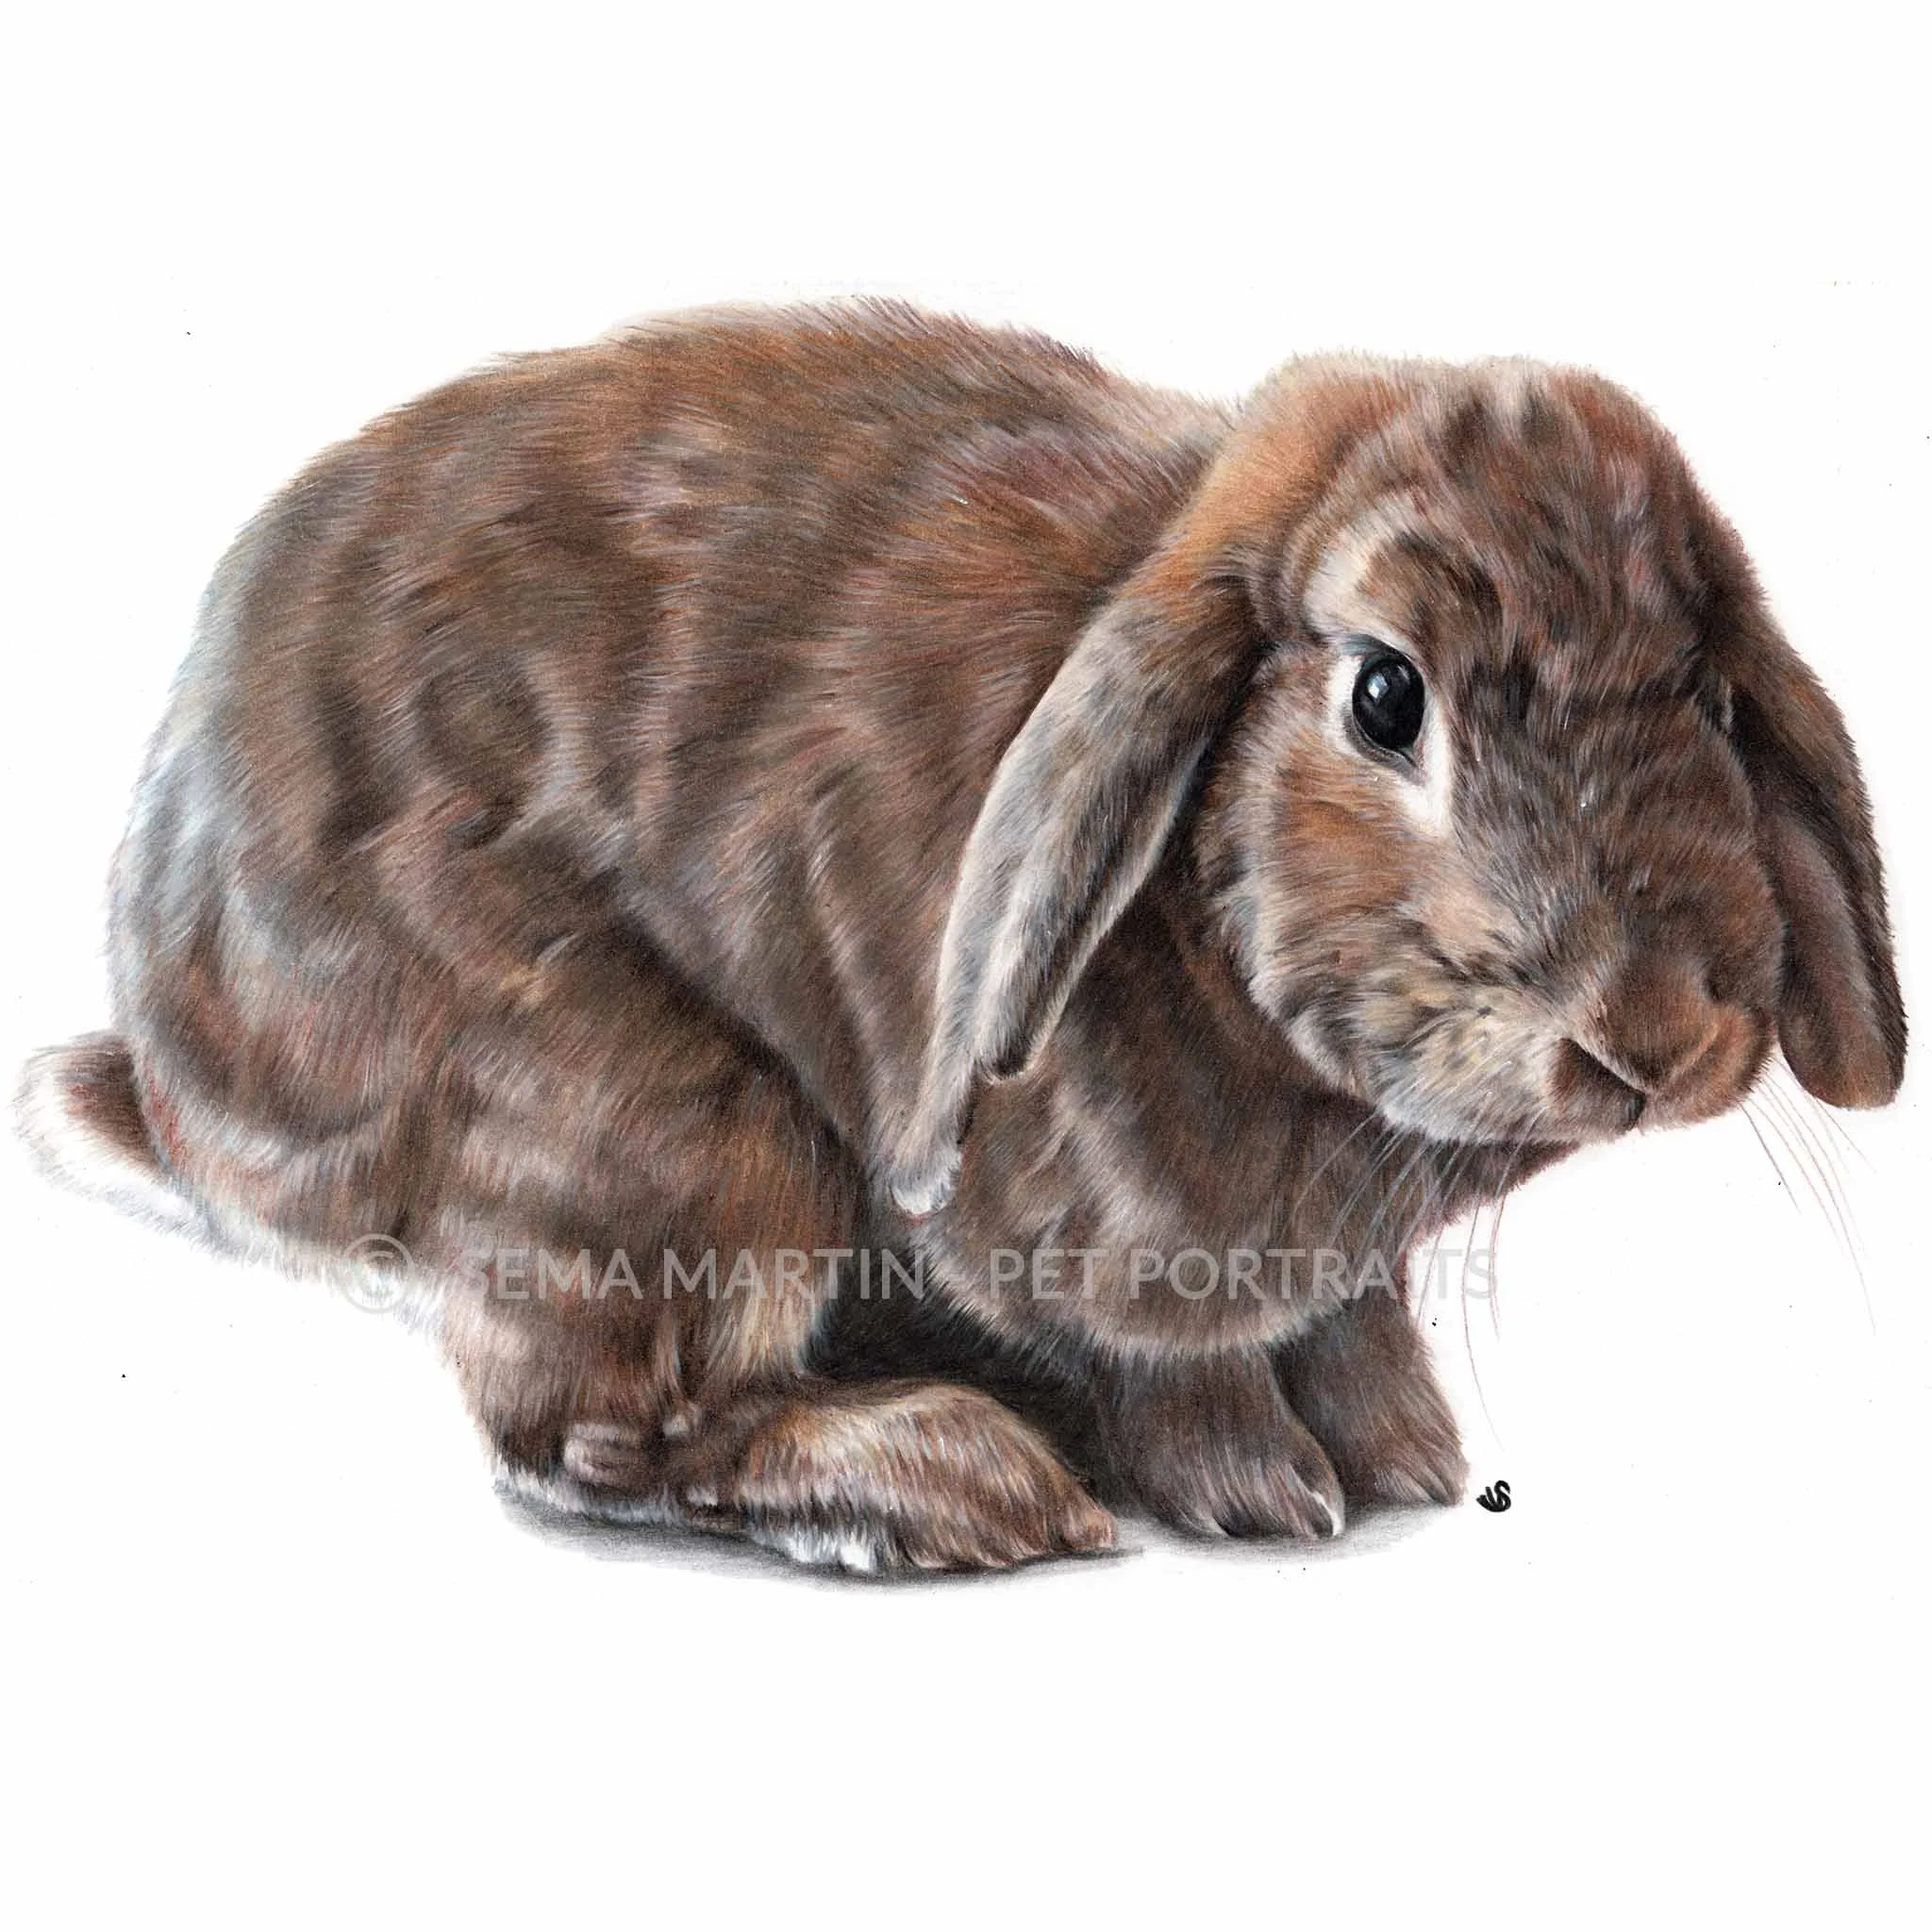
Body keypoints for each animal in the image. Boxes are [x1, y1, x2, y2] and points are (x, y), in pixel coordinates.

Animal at [18, 301, 1904, 1571]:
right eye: (1384, 696)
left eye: (1706, 697)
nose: (1649, 1031)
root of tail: (190, 1093)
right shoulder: (1094, 1254)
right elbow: (1176, 1362)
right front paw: (1261, 1495)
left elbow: (1347, 1322)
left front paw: (1409, 1462)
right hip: (667, 1147)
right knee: (606, 1438)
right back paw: (952, 1488)